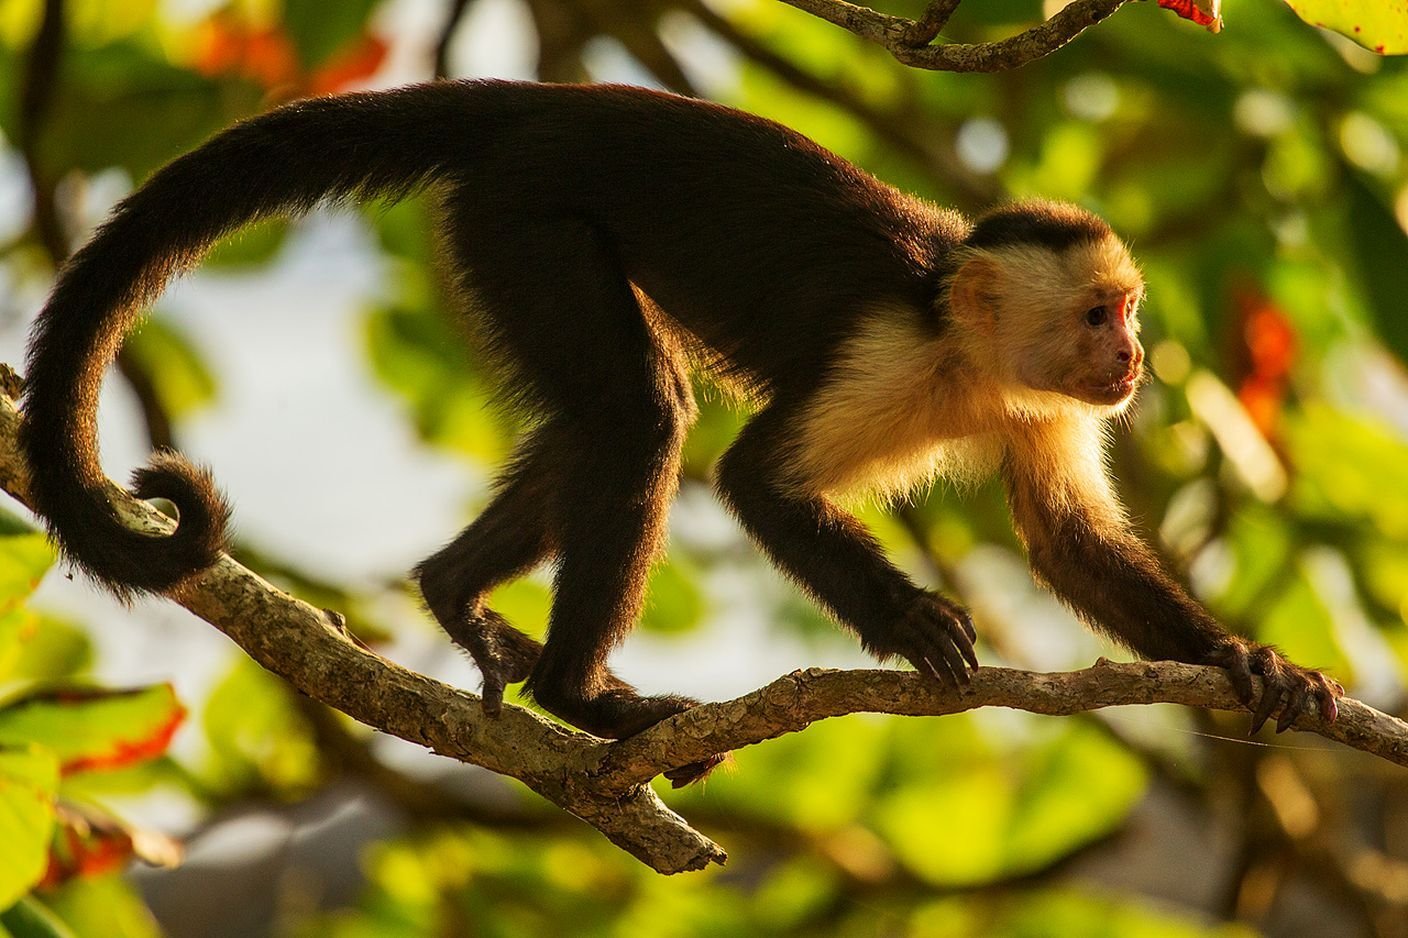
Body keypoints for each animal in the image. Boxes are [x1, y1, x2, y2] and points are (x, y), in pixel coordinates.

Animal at [22, 82, 1340, 783]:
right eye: (1099, 313)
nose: (1134, 361)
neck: (963, 353)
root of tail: (547, 102)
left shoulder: (1044, 409)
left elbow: (1070, 542)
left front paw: (1246, 662)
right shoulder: (883, 352)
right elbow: (757, 481)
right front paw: (909, 619)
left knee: (613, 412)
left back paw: (455, 590)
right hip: (523, 217)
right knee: (644, 418)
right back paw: (581, 695)